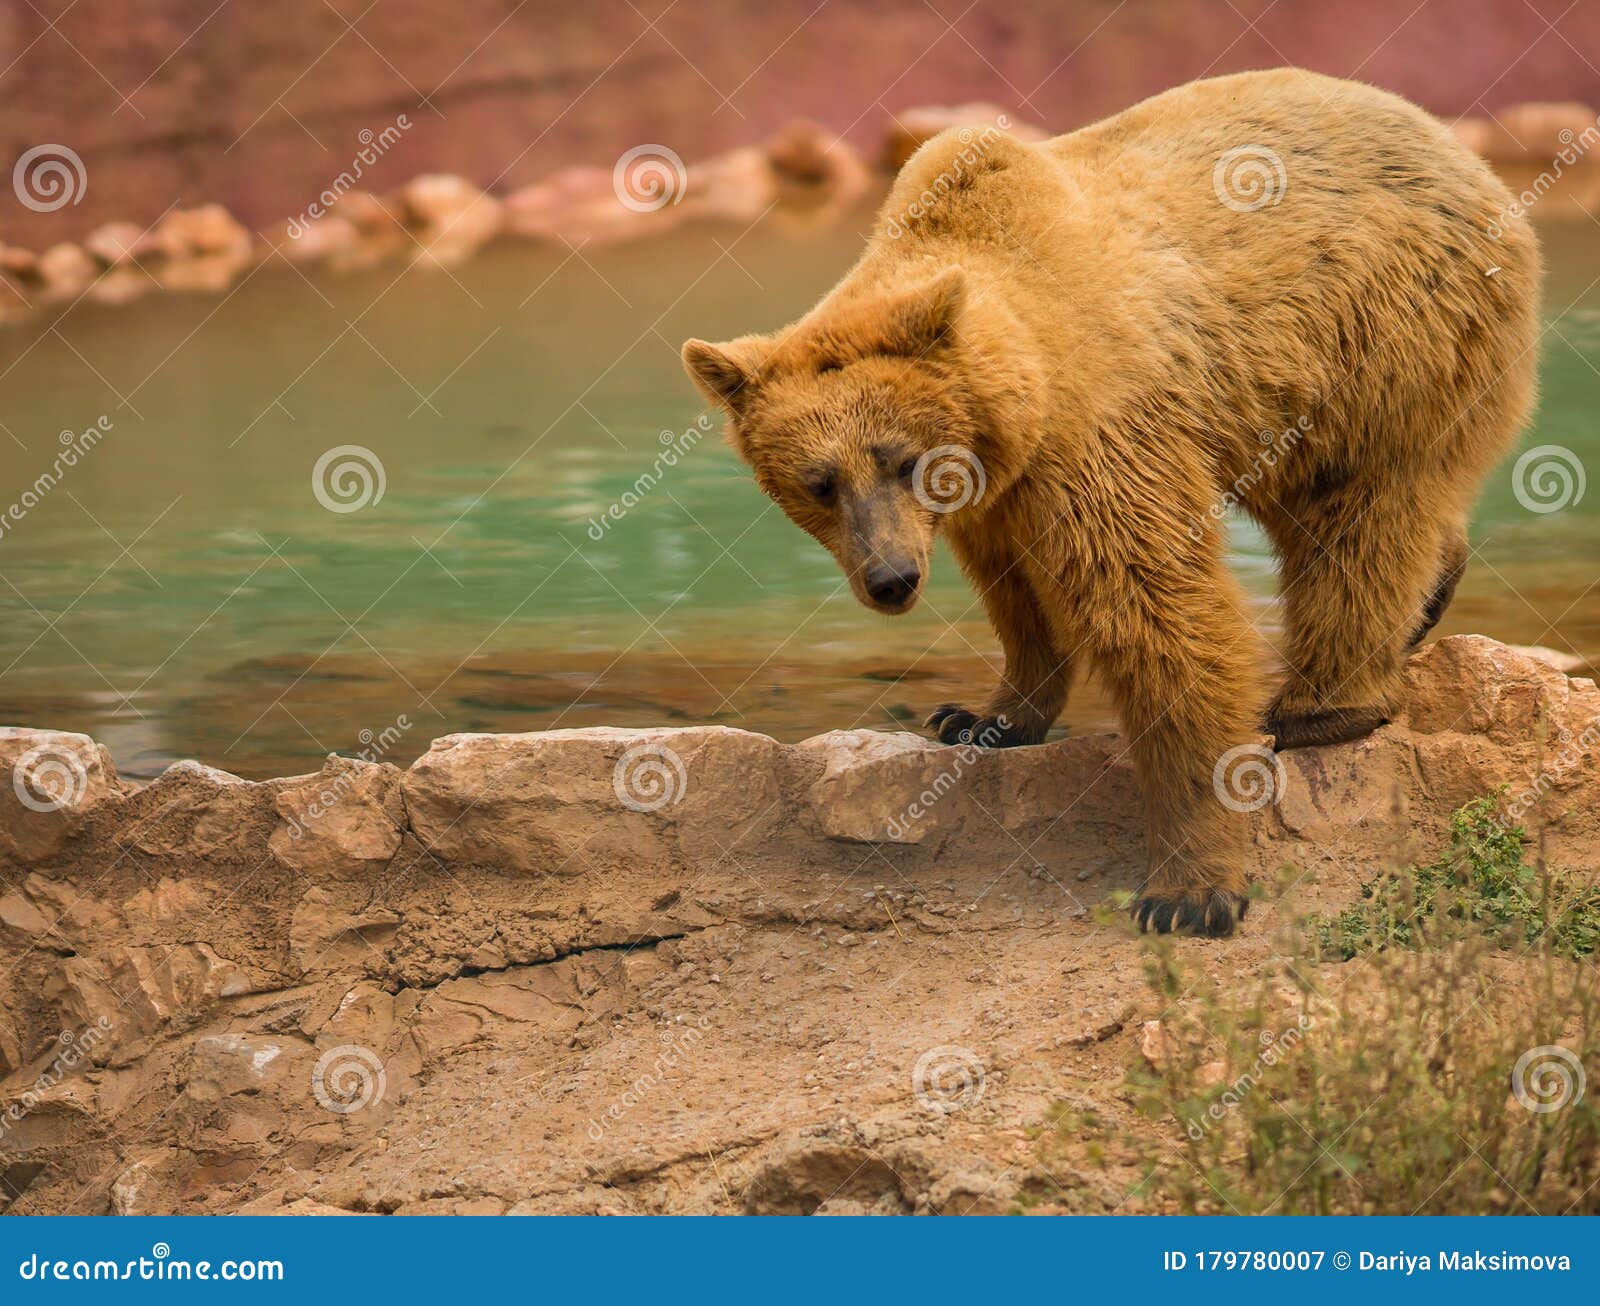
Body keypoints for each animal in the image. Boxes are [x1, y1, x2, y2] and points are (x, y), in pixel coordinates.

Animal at [681, 68, 1541, 936]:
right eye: (818, 483)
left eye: (903, 461)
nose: (891, 579)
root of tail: (1456, 148)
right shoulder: (1002, 491)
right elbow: (1019, 595)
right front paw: (983, 716)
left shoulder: (1100, 428)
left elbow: (1154, 610)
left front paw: (1188, 890)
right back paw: (1428, 596)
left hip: (1379, 333)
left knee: (1355, 513)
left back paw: (1317, 708)